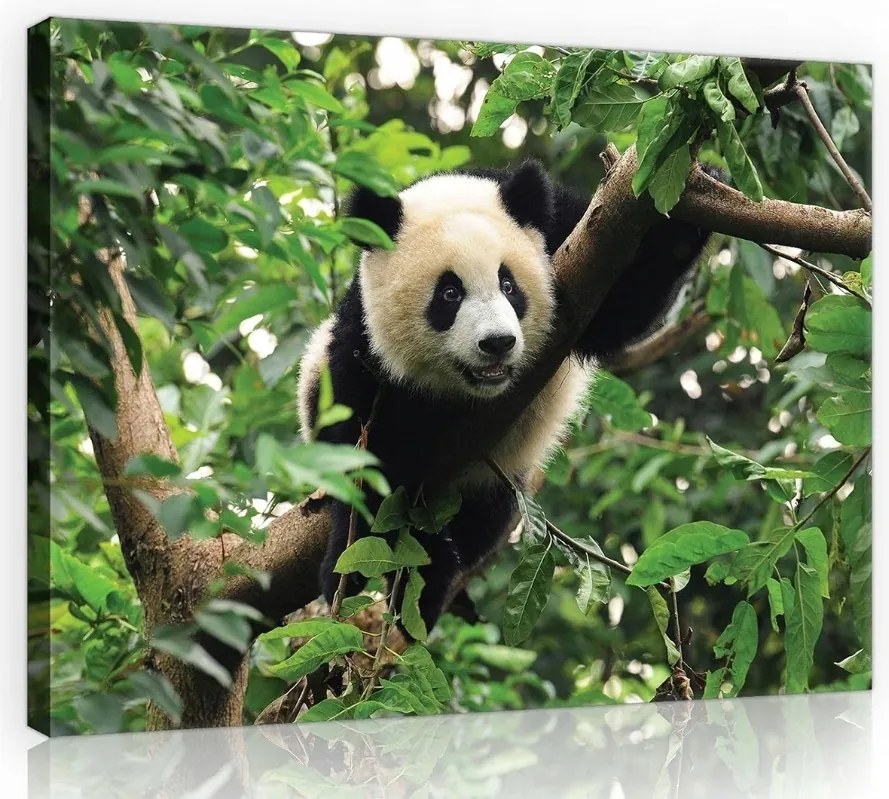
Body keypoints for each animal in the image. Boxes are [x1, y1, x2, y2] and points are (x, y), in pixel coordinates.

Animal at [297, 159, 713, 634]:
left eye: (508, 284)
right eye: (449, 294)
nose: (497, 343)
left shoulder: (569, 238)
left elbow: (621, 308)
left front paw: (695, 203)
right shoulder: (362, 343)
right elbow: (363, 454)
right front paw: (351, 566)